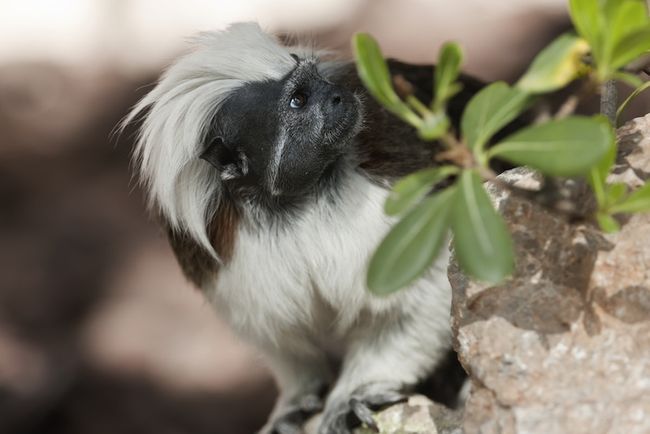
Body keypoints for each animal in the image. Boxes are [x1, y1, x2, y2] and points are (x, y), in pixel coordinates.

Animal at [124, 22, 485, 434]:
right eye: (298, 100)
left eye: (319, 82)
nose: (339, 96)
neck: (295, 202)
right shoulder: (219, 254)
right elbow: (277, 335)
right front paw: (296, 400)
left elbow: (416, 294)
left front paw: (355, 393)